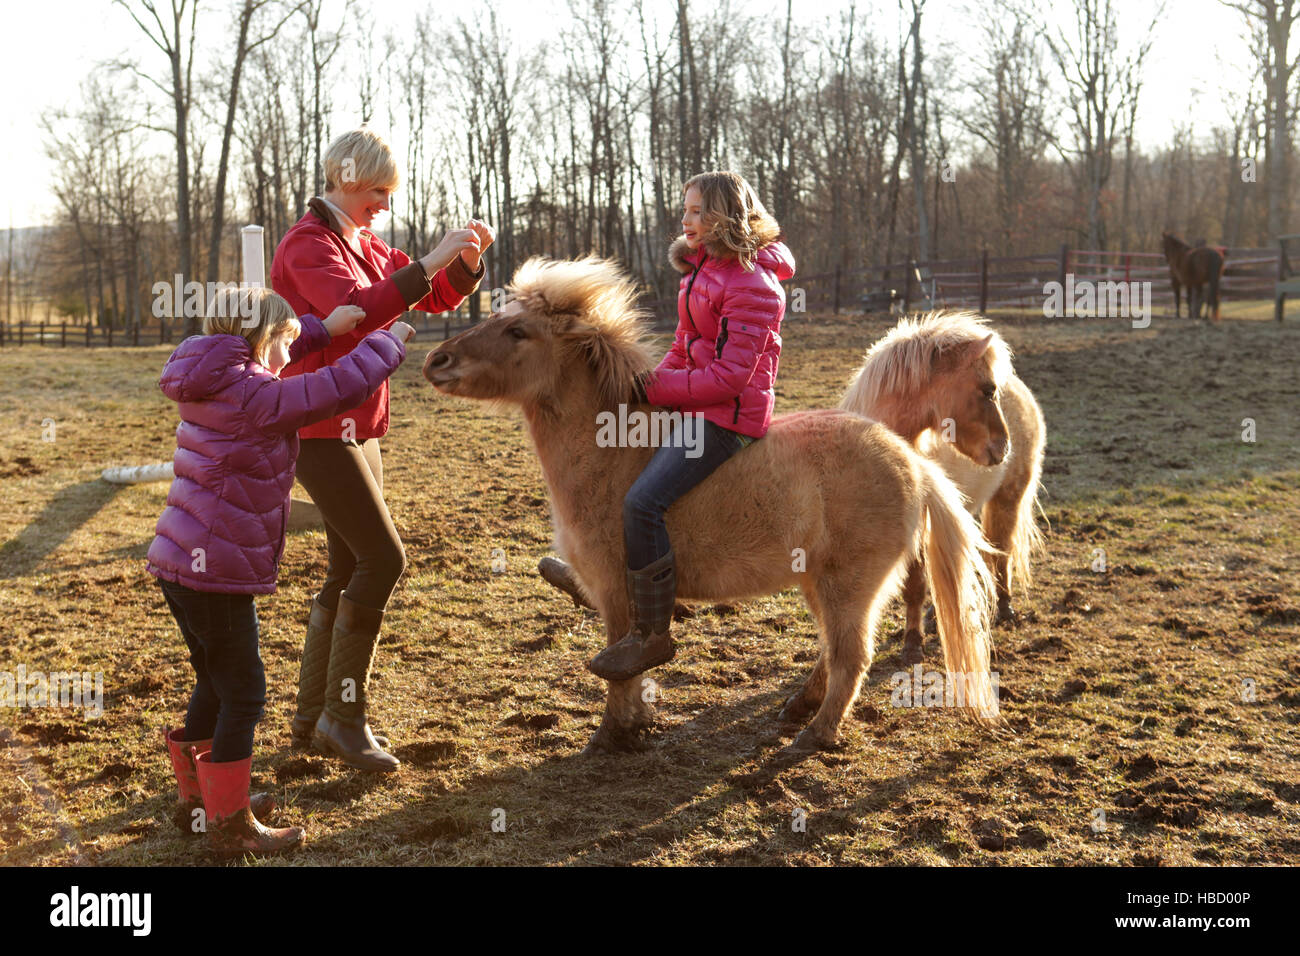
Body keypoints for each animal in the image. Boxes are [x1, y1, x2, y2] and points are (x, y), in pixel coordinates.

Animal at [423, 256, 999, 756]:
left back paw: (816, 733)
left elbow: (622, 662)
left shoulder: (614, 589)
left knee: (851, 657)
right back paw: (801, 708)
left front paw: (613, 734)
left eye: (518, 332)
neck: (611, 450)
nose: (436, 360)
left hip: (848, 585)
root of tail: (911, 461)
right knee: (836, 652)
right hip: (823, 582)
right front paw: (634, 726)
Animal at [840, 311, 1046, 665]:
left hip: (1008, 498)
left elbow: (915, 584)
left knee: (1001, 550)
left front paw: (912, 644)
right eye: (987, 390)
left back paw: (1004, 608)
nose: (1003, 446)